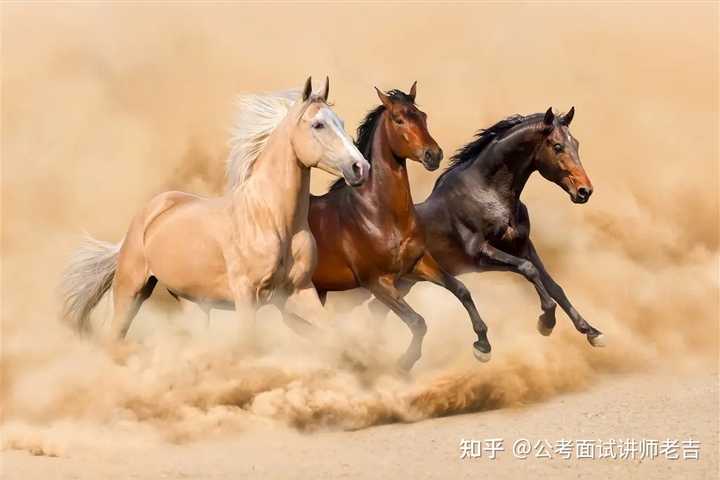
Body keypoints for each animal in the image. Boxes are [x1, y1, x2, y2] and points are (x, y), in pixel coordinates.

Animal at [60, 77, 370, 341]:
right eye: (318, 125)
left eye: (341, 122)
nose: (360, 167)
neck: (273, 220)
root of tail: (150, 212)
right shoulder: (247, 296)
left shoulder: (301, 291)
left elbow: (331, 333)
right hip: (130, 291)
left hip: (193, 303)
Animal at [309, 83, 492, 371]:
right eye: (398, 119)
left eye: (423, 116)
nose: (433, 154)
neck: (379, 215)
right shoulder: (377, 282)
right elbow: (417, 321)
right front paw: (404, 363)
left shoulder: (417, 264)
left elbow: (461, 290)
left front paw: (482, 345)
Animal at [370, 107, 606, 348]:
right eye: (557, 146)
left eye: (576, 144)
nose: (584, 191)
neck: (488, 193)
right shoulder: (480, 254)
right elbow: (528, 269)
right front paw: (546, 322)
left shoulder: (523, 246)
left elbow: (554, 286)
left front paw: (592, 332)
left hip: (404, 282)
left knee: (377, 309)